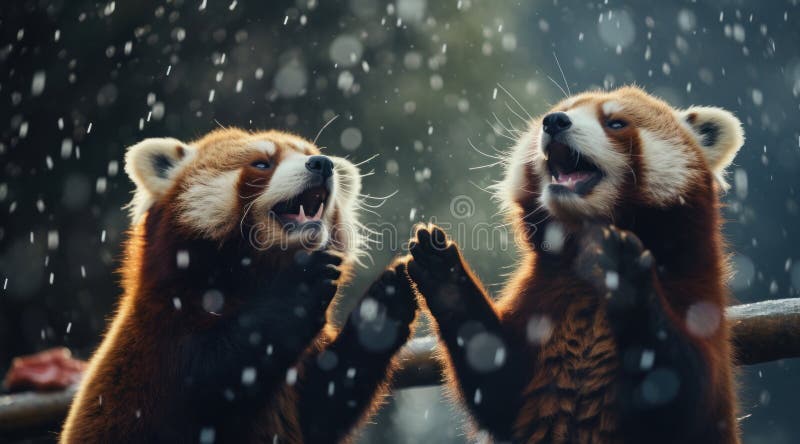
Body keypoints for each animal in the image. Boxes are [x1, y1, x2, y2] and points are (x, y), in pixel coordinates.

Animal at [61, 128, 418, 443]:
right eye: (262, 164)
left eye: (310, 154)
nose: (322, 164)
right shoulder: (163, 334)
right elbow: (209, 376)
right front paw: (299, 289)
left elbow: (327, 402)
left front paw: (384, 306)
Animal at [406, 86, 744, 444]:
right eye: (563, 110)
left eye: (615, 123)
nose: (554, 122)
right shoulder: (542, 297)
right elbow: (495, 382)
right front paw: (445, 278)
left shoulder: (697, 295)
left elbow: (683, 392)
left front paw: (623, 273)